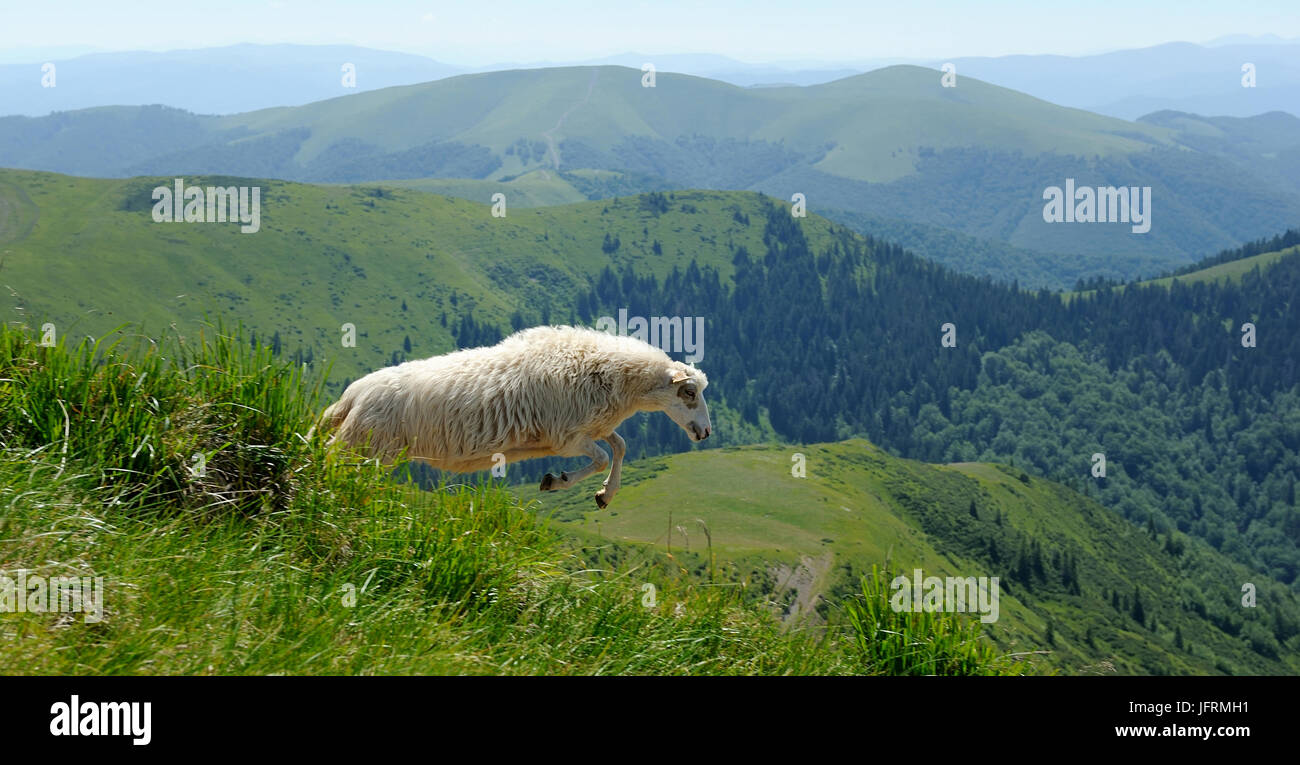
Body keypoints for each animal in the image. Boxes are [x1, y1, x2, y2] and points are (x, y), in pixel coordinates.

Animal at [321, 325, 711, 507]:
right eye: (689, 393)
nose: (705, 432)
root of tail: (351, 395)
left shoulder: (593, 426)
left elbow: (620, 446)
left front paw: (605, 495)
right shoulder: (566, 437)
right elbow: (602, 456)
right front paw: (556, 480)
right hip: (365, 446)